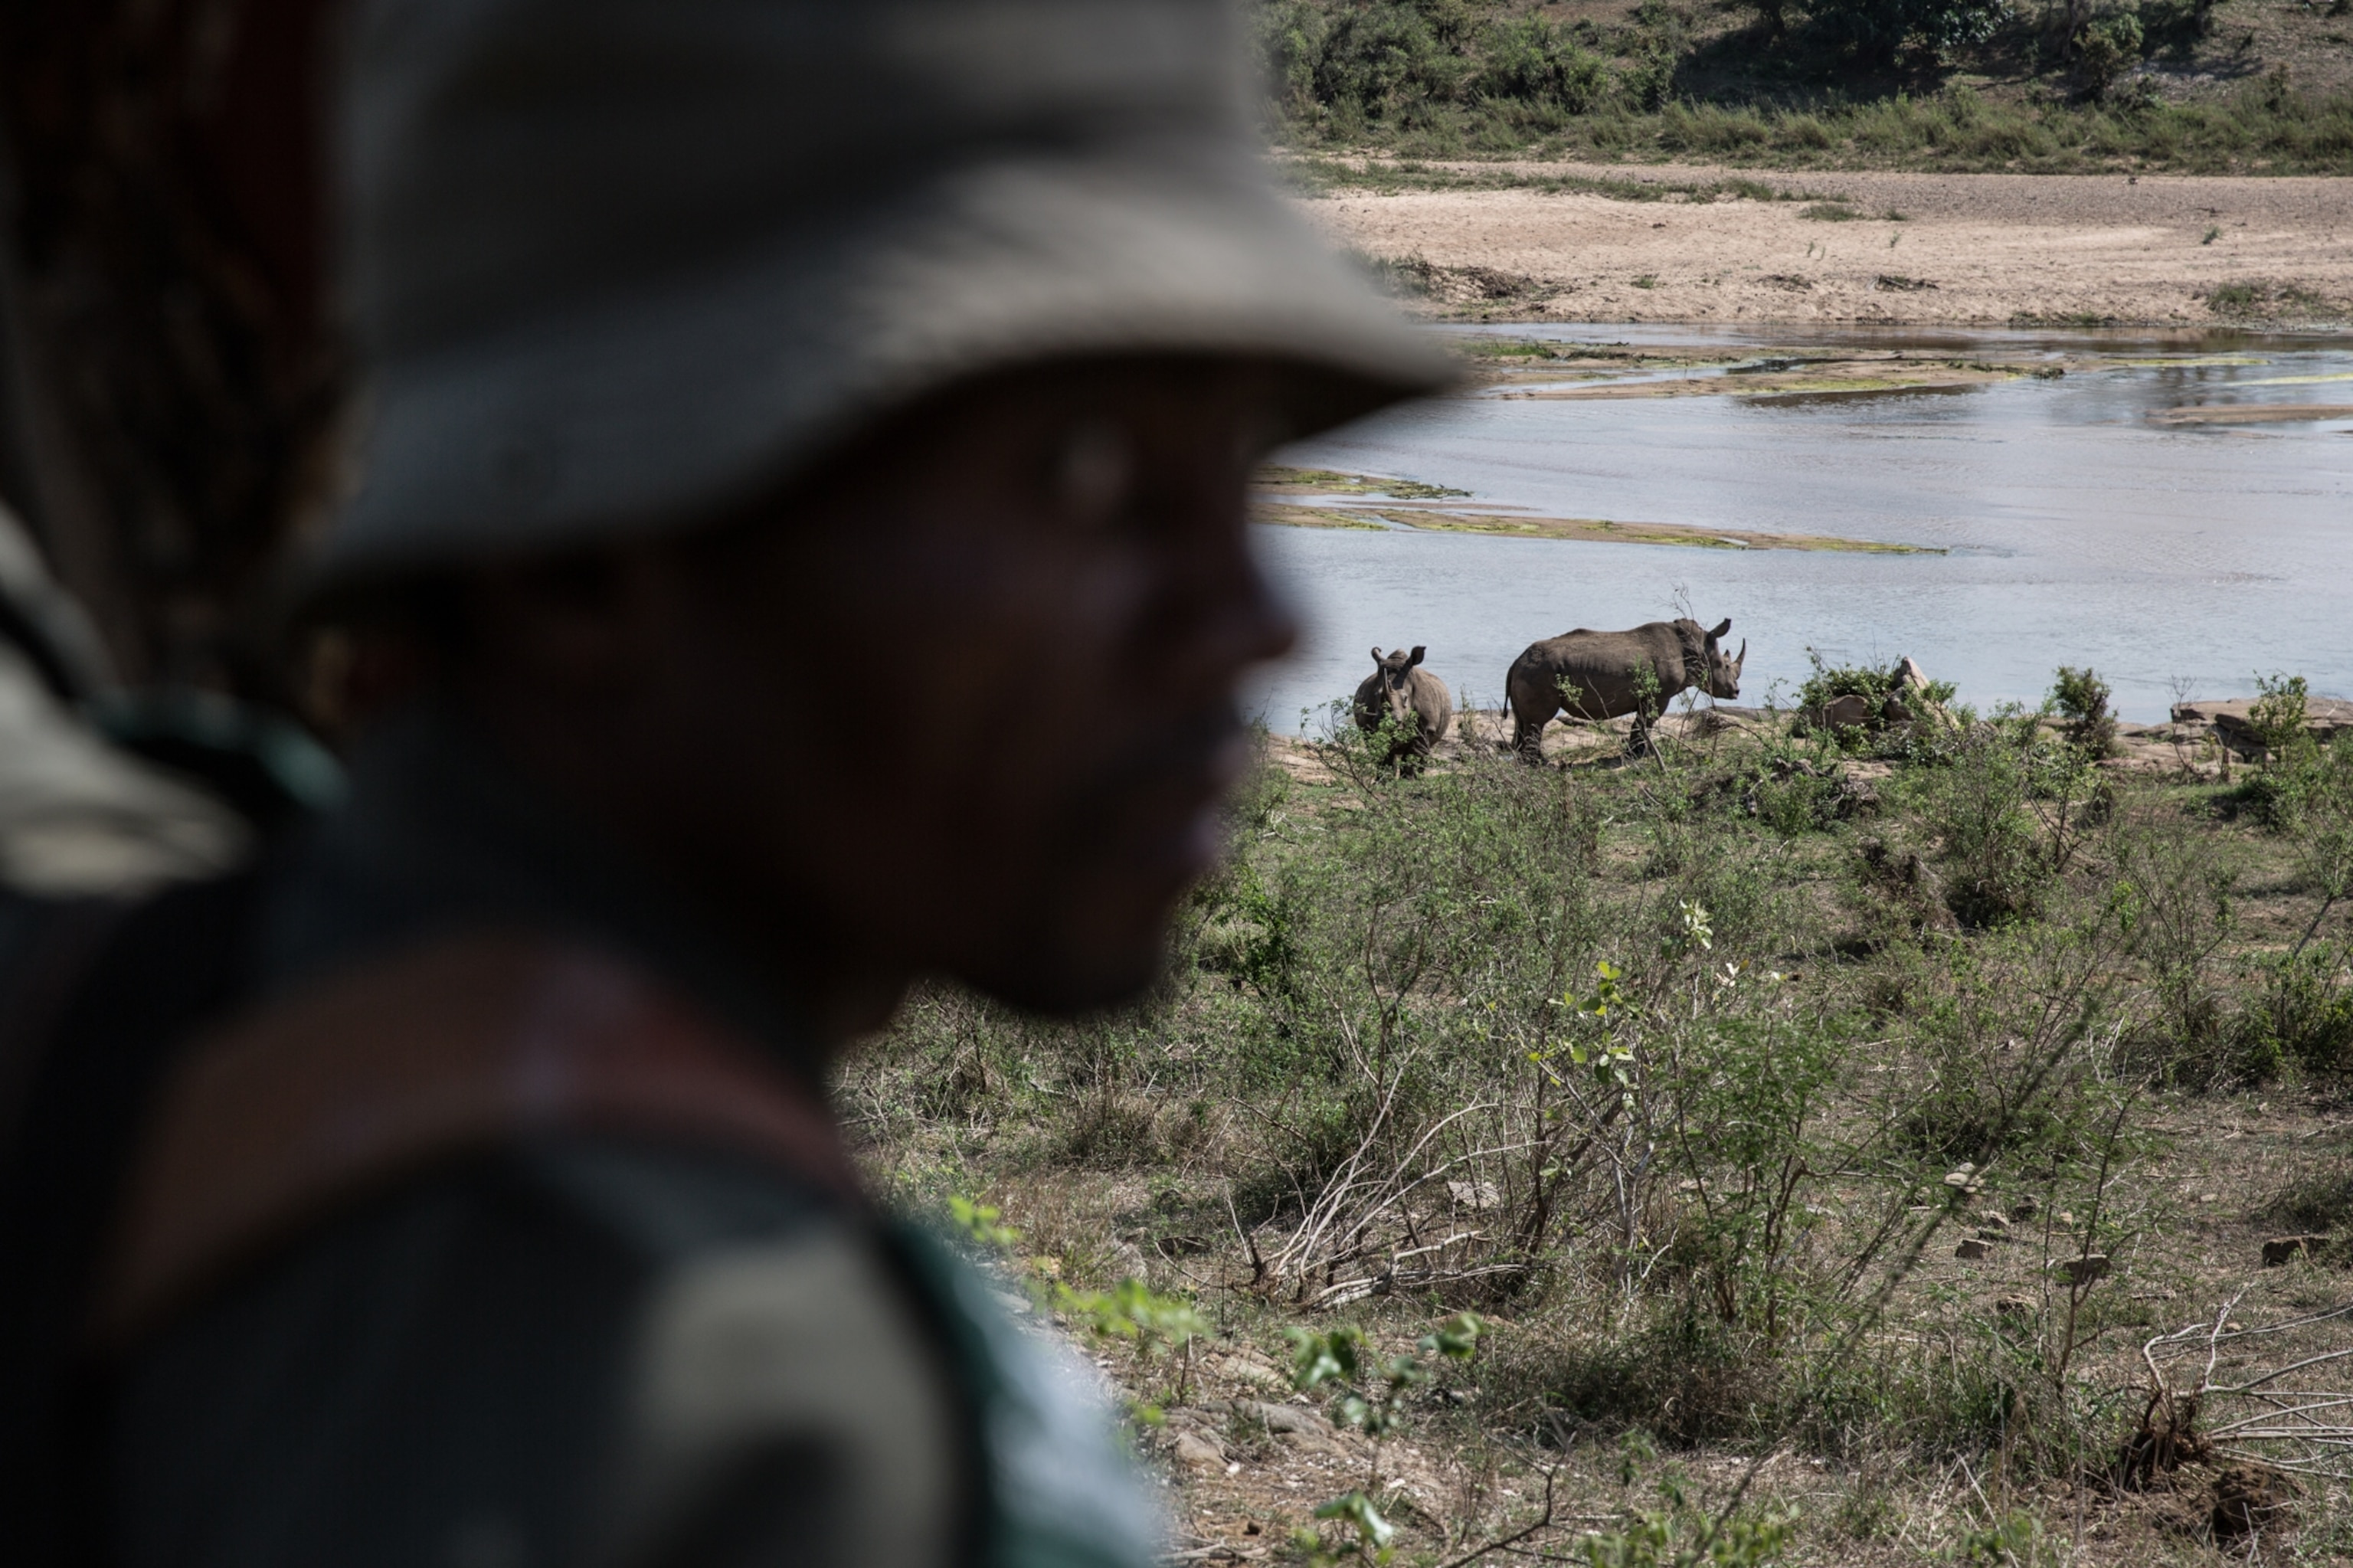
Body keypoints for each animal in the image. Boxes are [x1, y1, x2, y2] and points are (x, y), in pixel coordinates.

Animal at [1354, 646, 1454, 773]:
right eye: (1376, 695)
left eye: (1406, 698)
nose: (1389, 723)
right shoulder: (1368, 729)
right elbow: (1384, 758)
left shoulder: (1427, 728)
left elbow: (1412, 760)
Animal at [1506, 617, 1744, 760]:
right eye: (1725, 666)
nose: (1736, 692)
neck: (1696, 648)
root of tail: (1517, 661)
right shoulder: (1660, 695)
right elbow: (1644, 722)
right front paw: (1639, 754)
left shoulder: (1649, 695)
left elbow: (1640, 724)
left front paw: (1634, 753)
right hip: (1539, 673)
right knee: (1538, 722)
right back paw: (1540, 763)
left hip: (1530, 671)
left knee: (1523, 722)